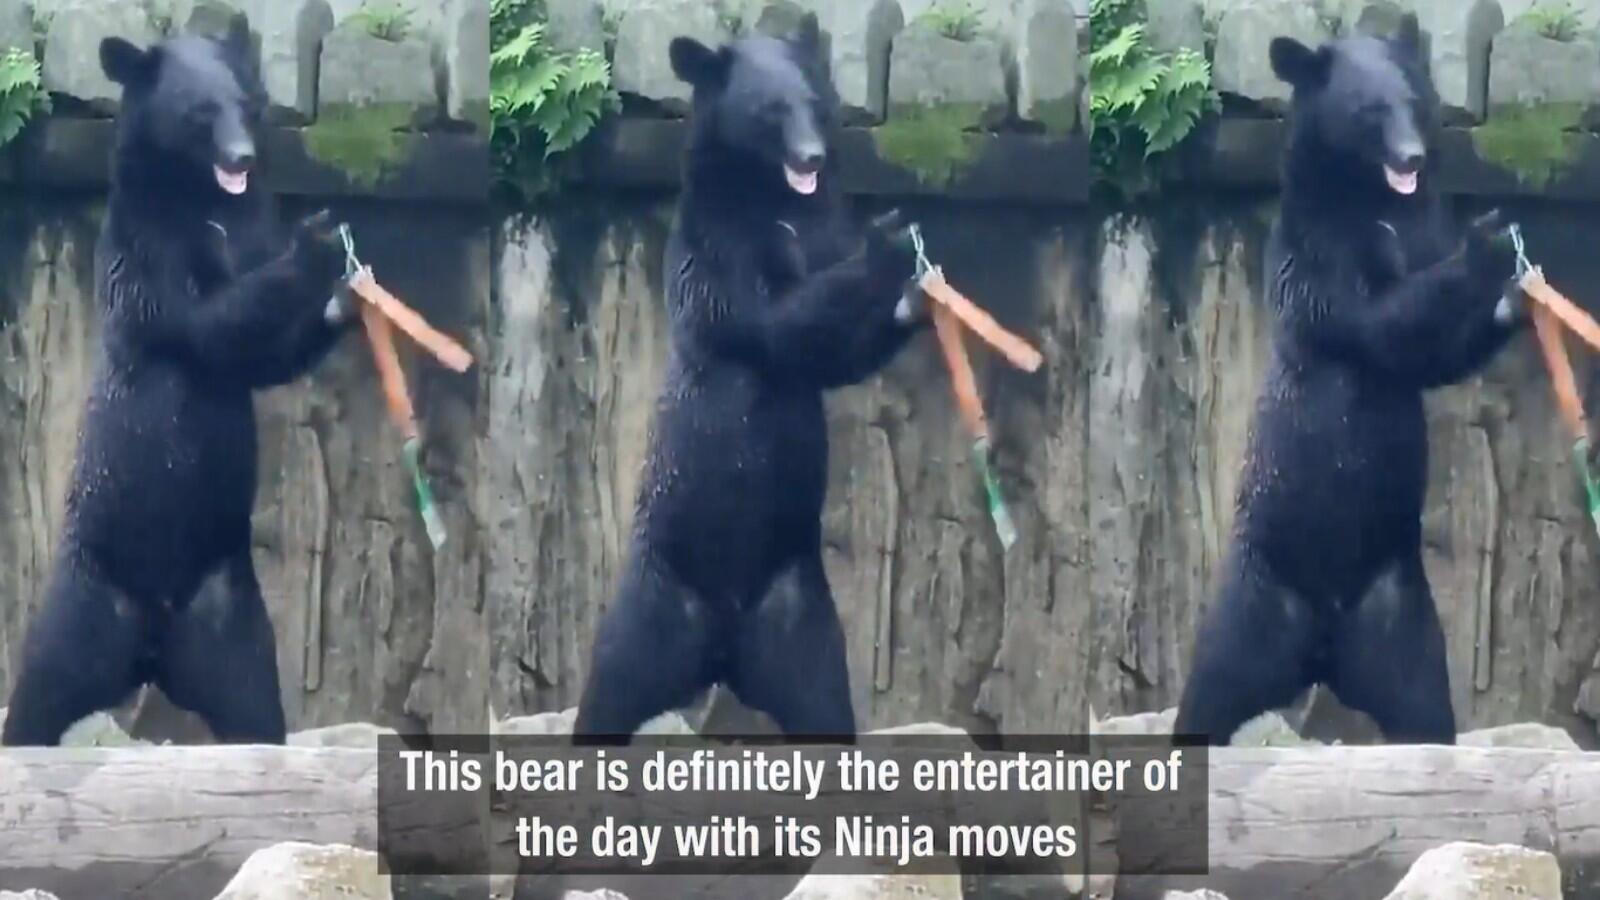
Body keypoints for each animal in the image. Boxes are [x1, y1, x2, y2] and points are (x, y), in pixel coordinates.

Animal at [1, 17, 354, 746]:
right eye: (200, 112)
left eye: (247, 102)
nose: (242, 158)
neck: (202, 200)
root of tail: (151, 651)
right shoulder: (146, 248)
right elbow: (206, 324)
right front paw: (315, 245)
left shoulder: (243, 230)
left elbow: (265, 360)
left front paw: (349, 299)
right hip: (83, 600)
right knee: (36, 697)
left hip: (228, 617)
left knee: (255, 707)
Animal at [570, 15, 924, 743]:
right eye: (770, 110)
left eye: (815, 101)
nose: (812, 158)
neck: (774, 200)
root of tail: (721, 655)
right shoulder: (716, 247)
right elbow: (772, 322)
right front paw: (888, 244)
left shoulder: (815, 232)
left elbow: (835, 358)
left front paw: (916, 296)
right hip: (654, 601)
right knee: (607, 692)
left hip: (797, 614)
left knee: (825, 704)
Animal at [1172, 16, 1522, 746]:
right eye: (1369, 111)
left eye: (1414, 99)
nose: (1412, 158)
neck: (1373, 203)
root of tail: (1321, 653)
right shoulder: (1317, 253)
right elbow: (1378, 321)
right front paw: (1486, 246)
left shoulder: (1413, 232)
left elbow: (1436, 358)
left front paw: (1517, 297)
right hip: (1254, 598)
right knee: (1208, 694)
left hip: (1397, 612)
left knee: (1424, 707)